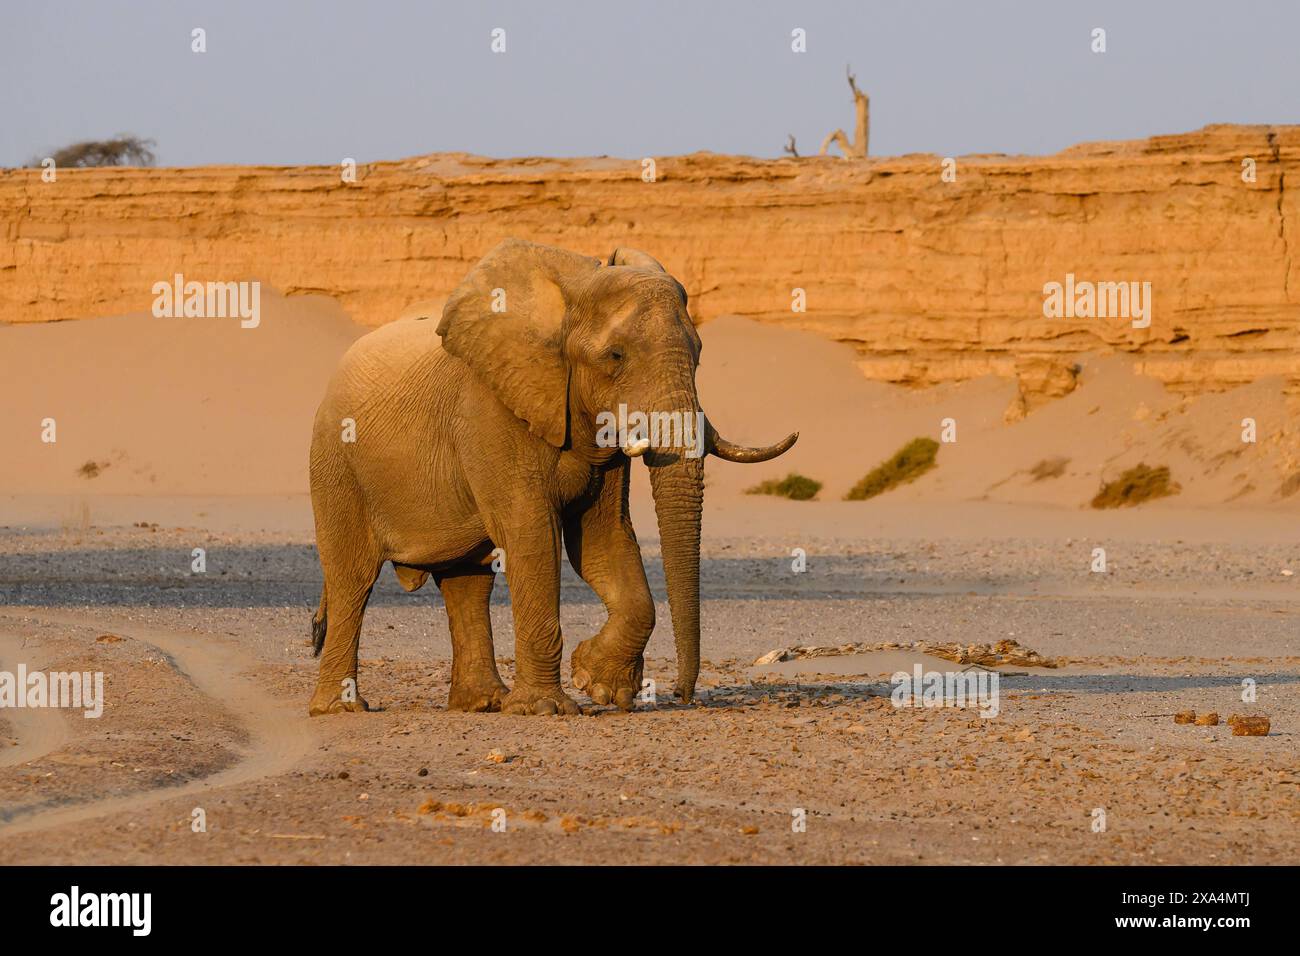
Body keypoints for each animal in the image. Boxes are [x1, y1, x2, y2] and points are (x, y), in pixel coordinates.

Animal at [306, 238, 797, 716]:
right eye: (615, 356)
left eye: (698, 355)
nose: (681, 694)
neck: (572, 291)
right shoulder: (490, 411)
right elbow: (533, 535)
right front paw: (546, 708)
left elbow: (603, 538)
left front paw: (601, 686)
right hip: (335, 465)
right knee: (352, 581)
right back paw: (340, 709)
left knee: (468, 582)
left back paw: (482, 703)